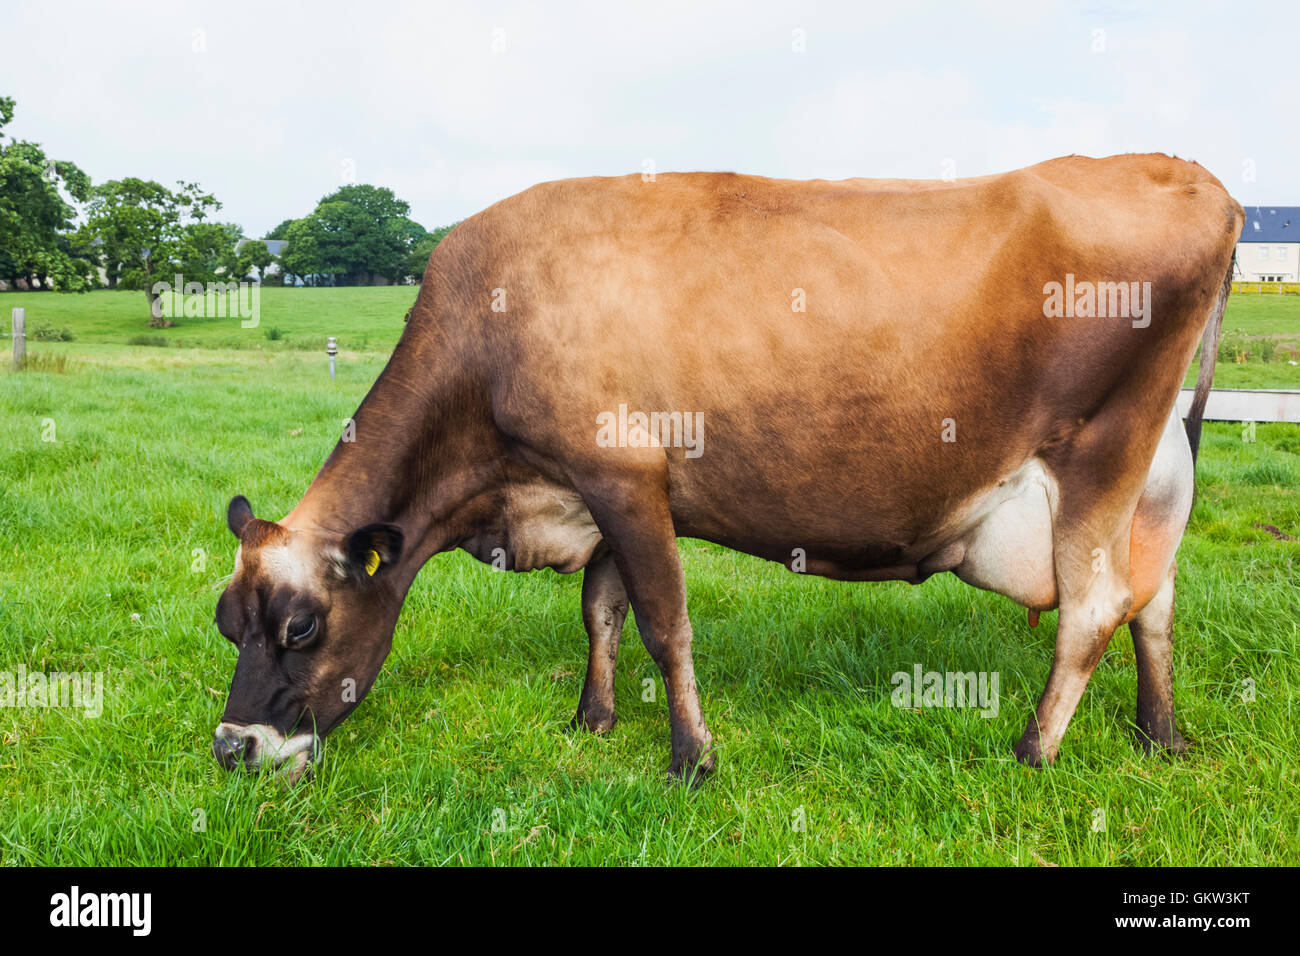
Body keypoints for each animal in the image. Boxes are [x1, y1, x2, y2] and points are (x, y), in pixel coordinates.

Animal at [211, 154, 1242, 784]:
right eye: (228, 623)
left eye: (303, 627)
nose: (231, 748)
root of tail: (1191, 178)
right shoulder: (594, 489)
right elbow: (600, 610)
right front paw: (592, 720)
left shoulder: (624, 475)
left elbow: (664, 623)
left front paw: (689, 758)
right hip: (1156, 470)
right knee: (1154, 599)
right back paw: (1160, 735)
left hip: (1099, 455)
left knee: (1093, 608)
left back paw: (1034, 749)